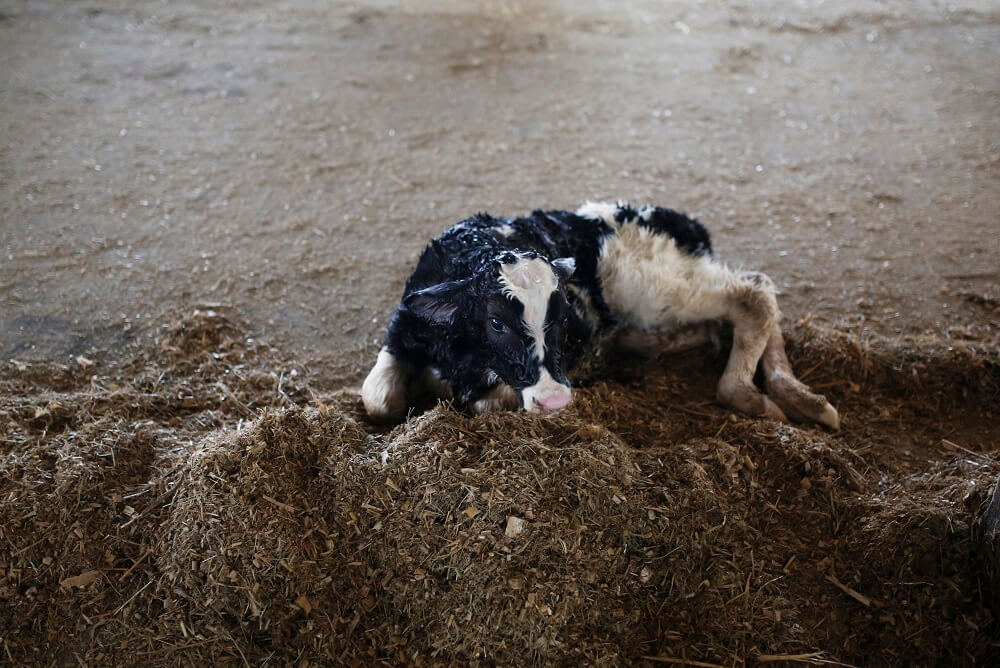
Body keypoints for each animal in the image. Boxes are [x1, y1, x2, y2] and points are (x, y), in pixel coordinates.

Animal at [361, 201, 839, 430]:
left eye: (562, 319)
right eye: (495, 321)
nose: (556, 400)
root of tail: (684, 223)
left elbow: (488, 402)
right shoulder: (402, 329)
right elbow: (378, 399)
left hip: (654, 285)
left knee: (753, 293)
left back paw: (762, 396)